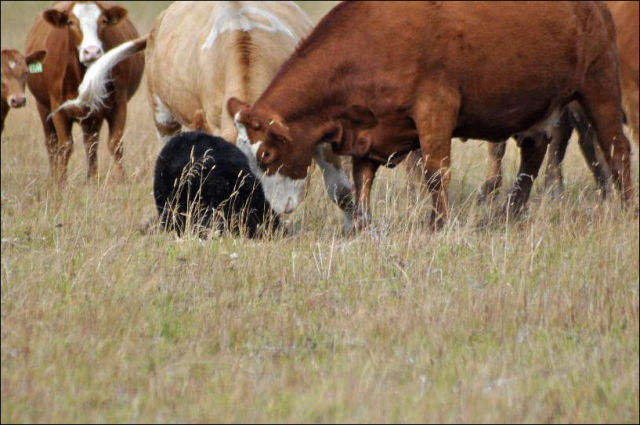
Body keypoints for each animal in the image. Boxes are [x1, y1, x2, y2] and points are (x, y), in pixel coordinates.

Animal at [24, 0, 144, 183]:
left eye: (103, 21)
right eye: (71, 22)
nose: (92, 51)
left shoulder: (118, 103)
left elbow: (115, 144)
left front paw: (122, 181)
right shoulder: (57, 106)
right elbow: (65, 146)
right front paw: (61, 183)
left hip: (92, 116)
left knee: (91, 144)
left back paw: (92, 179)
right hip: (43, 107)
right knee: (52, 143)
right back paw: (54, 176)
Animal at [224, 1, 632, 232]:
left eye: (266, 154)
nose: (268, 211)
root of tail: (592, 7)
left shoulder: (436, 109)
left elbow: (436, 173)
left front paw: (436, 224)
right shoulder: (366, 131)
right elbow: (362, 180)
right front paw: (360, 226)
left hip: (599, 87)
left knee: (617, 149)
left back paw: (628, 208)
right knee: (532, 158)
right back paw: (506, 215)